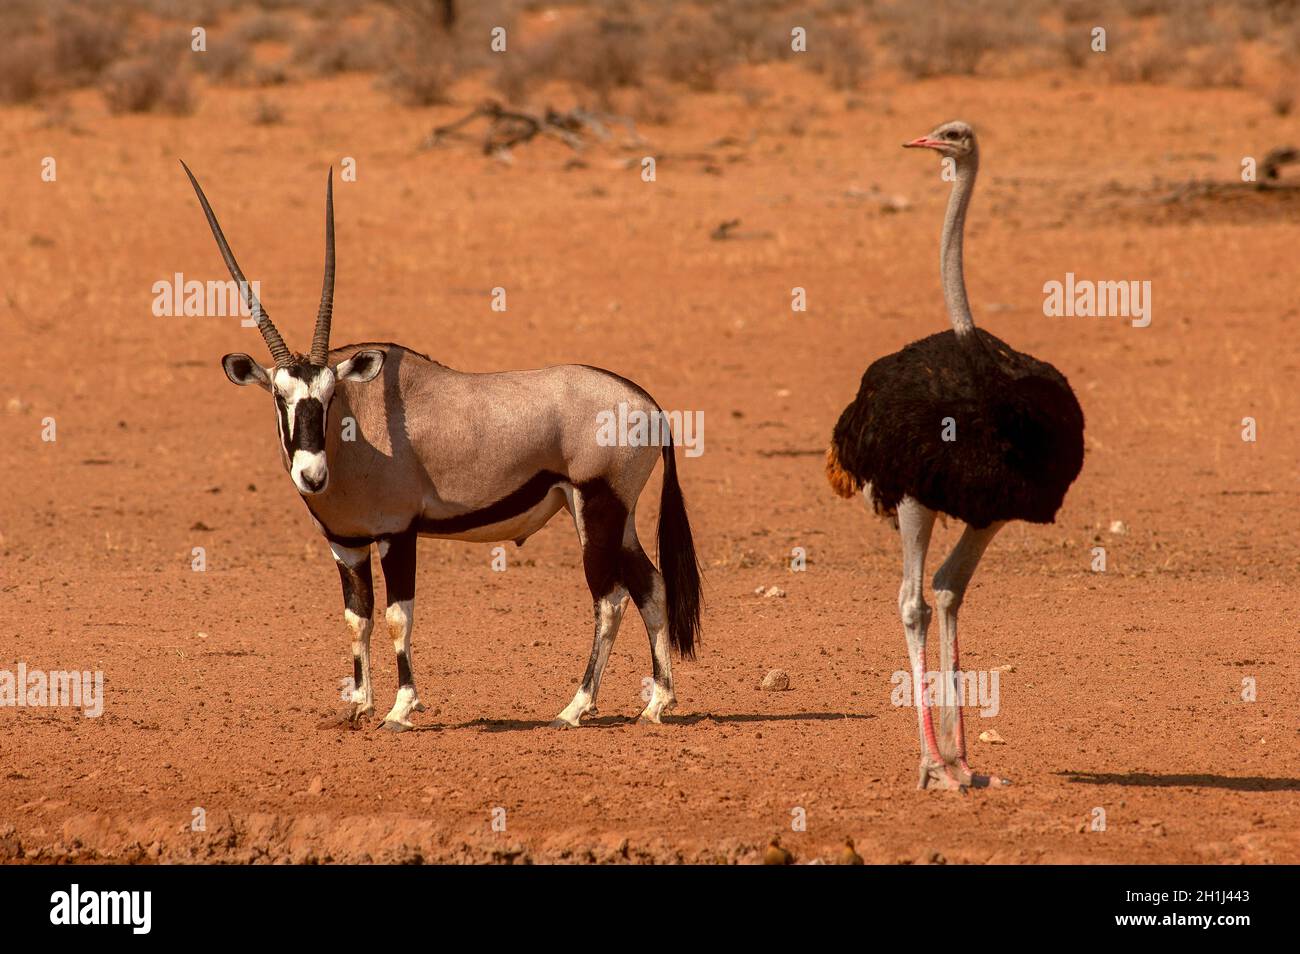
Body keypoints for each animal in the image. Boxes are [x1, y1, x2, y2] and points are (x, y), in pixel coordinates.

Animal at [181, 162, 702, 731]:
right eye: (281, 396)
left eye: (330, 393)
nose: (311, 476)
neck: (356, 433)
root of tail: (650, 405)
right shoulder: (346, 542)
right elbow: (357, 618)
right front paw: (358, 705)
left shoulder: (397, 534)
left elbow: (396, 617)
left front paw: (399, 709)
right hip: (615, 514)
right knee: (650, 586)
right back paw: (656, 702)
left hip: (597, 508)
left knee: (610, 600)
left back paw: (575, 707)